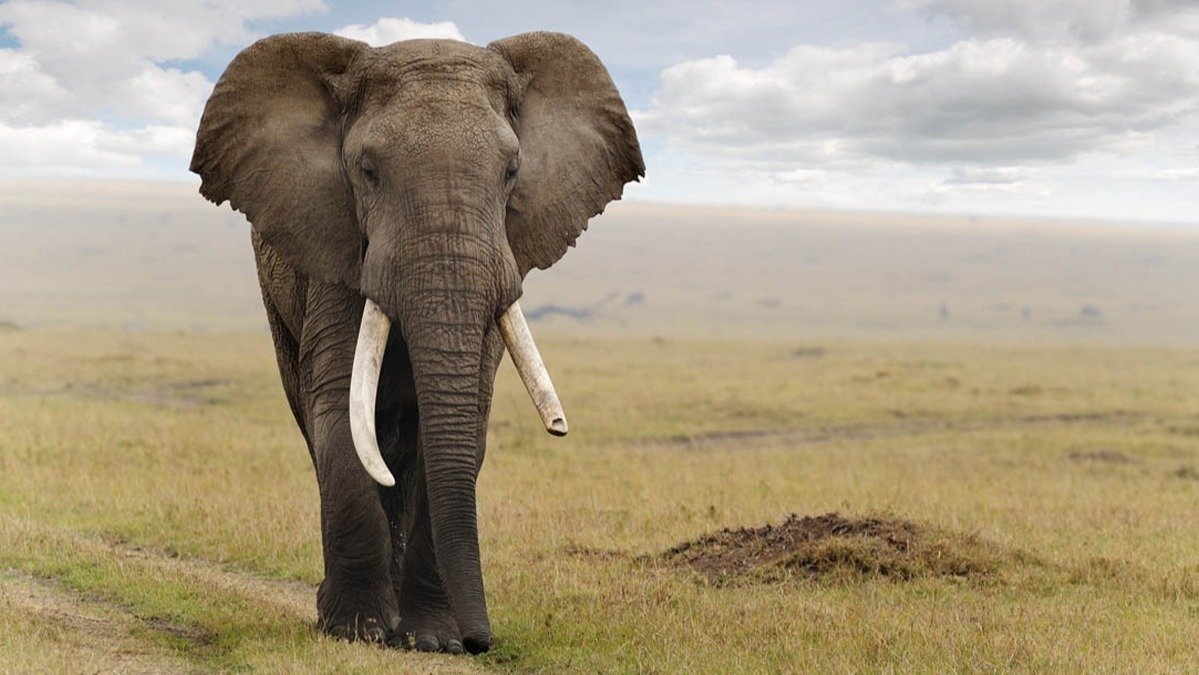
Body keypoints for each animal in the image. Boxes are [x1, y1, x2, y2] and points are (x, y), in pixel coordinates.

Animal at [189, 31, 643, 654]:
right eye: (367, 170)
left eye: (512, 171)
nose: (482, 642)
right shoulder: (336, 249)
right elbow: (341, 411)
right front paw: (356, 631)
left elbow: (461, 425)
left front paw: (432, 641)